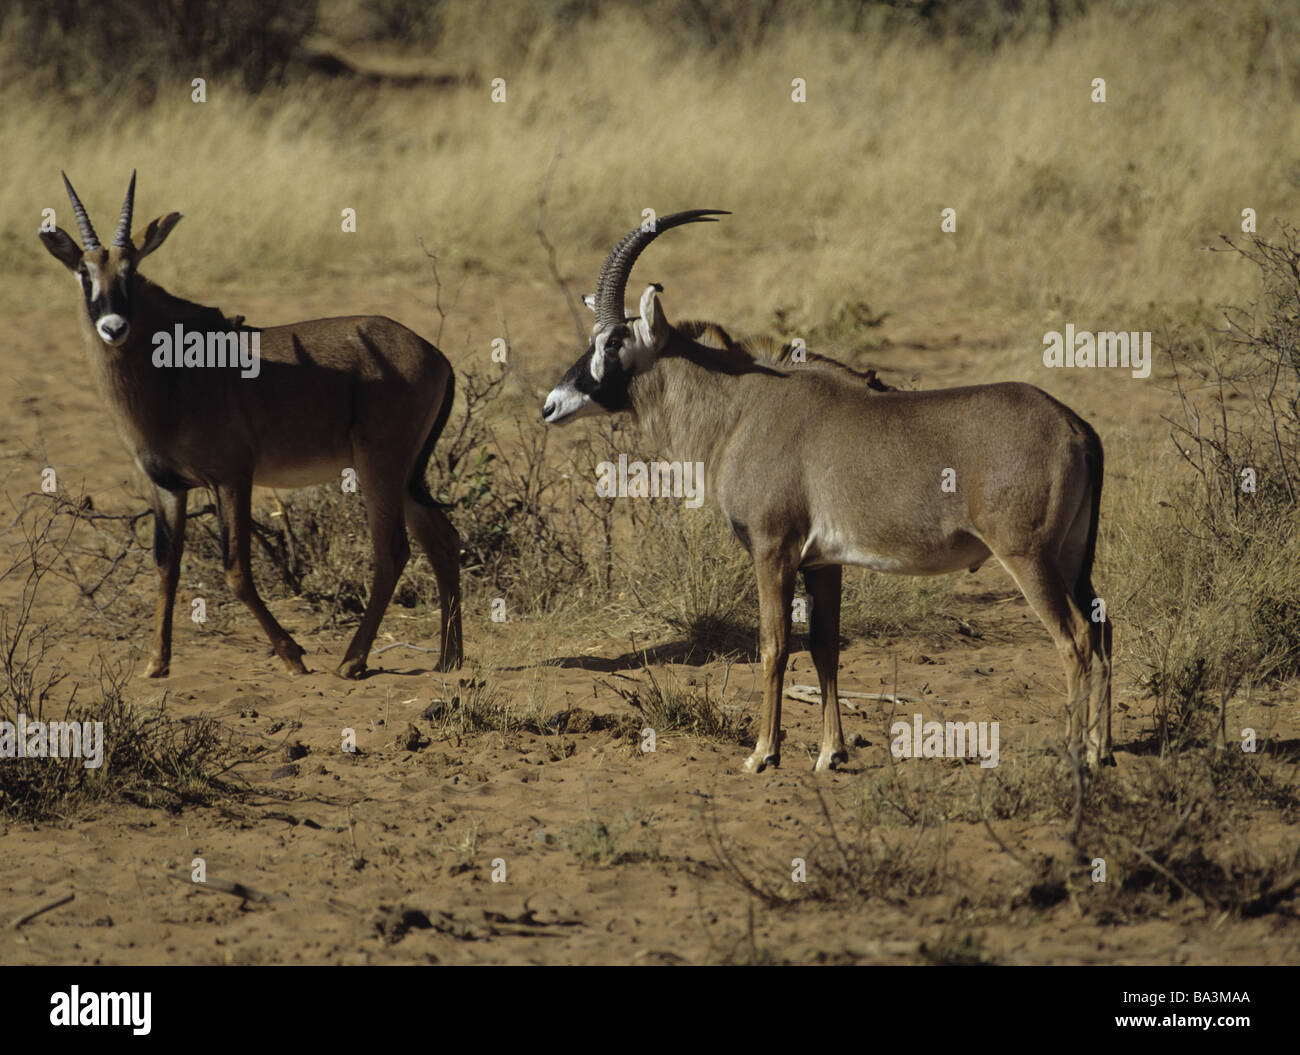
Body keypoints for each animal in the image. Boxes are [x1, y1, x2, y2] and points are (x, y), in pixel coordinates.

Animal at [40, 172, 463, 678]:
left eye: (131, 270)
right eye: (84, 272)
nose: (113, 327)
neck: (171, 373)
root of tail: (434, 355)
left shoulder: (232, 478)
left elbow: (236, 570)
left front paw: (293, 655)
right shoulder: (168, 487)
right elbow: (167, 565)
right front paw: (156, 663)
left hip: (379, 465)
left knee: (394, 549)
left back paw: (352, 660)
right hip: (403, 474)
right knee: (441, 538)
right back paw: (448, 659)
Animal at [543, 210, 1111, 772]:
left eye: (613, 342)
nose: (551, 404)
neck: (743, 408)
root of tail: (1076, 427)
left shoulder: (773, 549)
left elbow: (774, 645)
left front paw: (762, 753)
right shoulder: (823, 563)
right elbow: (824, 648)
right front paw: (830, 752)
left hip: (1028, 556)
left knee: (1076, 639)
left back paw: (1075, 754)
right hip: (1070, 557)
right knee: (1101, 630)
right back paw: (1101, 749)